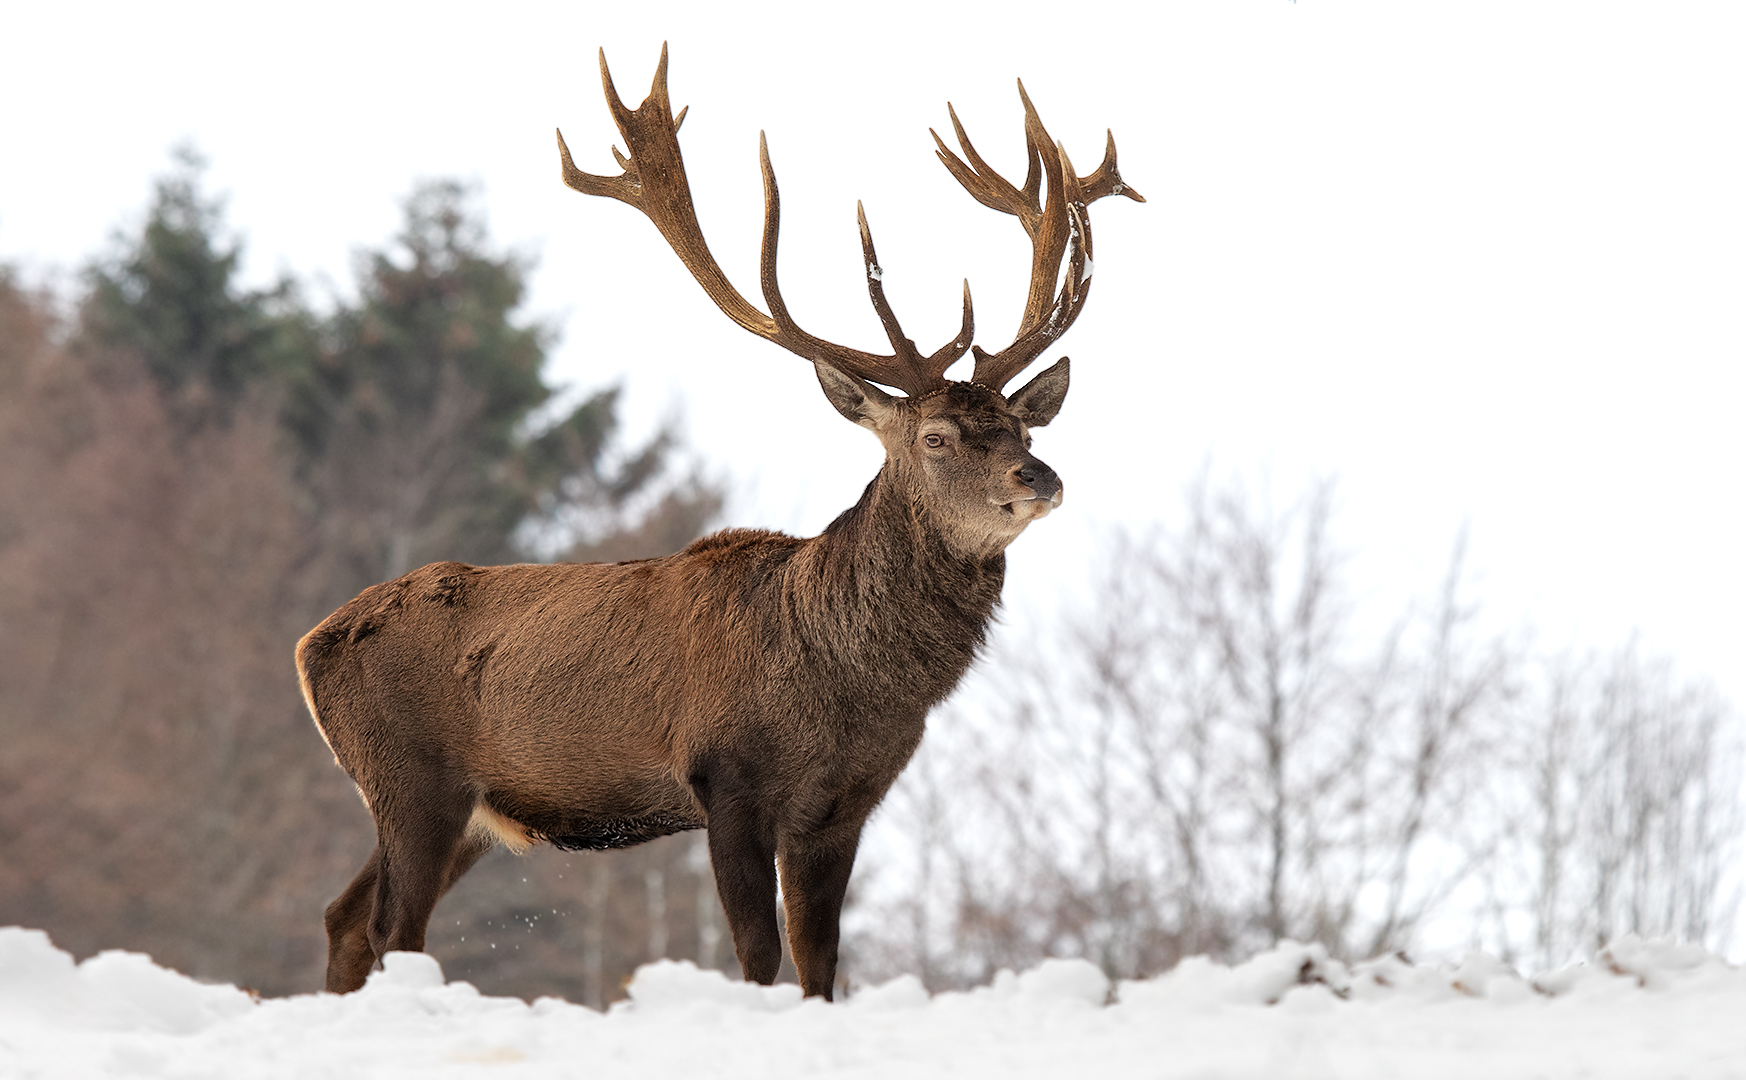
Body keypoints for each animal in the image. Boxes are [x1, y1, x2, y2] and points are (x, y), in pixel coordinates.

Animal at [298, 45, 1142, 1000]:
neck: (841, 683)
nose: (1041, 477)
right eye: (936, 436)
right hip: (409, 775)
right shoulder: (726, 776)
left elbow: (819, 961)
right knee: (389, 926)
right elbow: (757, 955)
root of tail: (310, 644)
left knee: (345, 918)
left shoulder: (844, 803)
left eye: (1024, 427)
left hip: (465, 811)